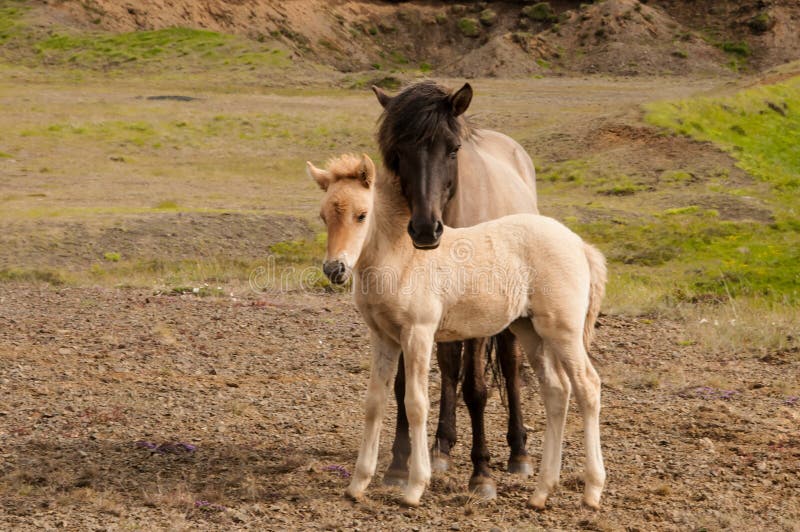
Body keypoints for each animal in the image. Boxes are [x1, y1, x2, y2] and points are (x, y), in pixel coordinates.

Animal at [306, 153, 607, 509]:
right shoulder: (383, 337)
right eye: (324, 216)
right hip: (531, 331)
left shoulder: (418, 333)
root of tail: (579, 244)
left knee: (587, 386)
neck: (401, 256)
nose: (334, 269)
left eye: (361, 215)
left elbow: (416, 403)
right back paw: (541, 492)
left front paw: (415, 487)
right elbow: (374, 403)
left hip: (563, 330)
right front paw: (357, 484)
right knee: (557, 391)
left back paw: (592, 491)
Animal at [370, 80, 540, 498]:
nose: (425, 229)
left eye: (452, 149)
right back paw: (442, 446)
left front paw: (482, 474)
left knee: (509, 365)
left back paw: (519, 452)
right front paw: (399, 464)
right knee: (449, 367)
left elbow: (476, 388)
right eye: (398, 151)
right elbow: (405, 385)